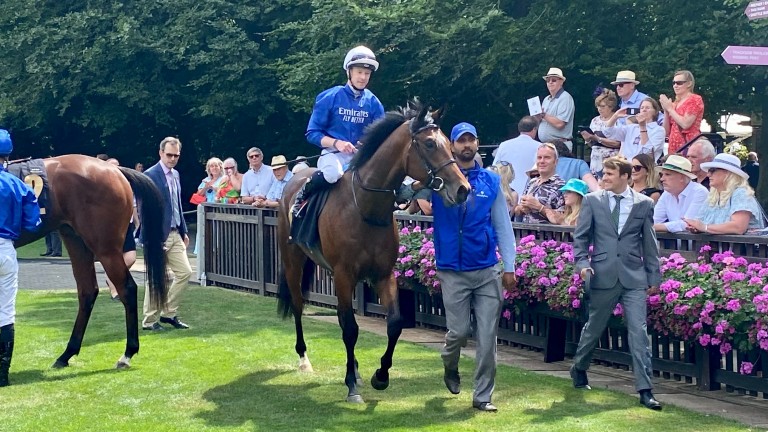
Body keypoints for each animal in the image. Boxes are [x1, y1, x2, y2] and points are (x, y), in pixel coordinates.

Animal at [15, 154, 167, 369]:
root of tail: (115, 170)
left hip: (105, 248)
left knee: (126, 288)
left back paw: (127, 353)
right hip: (75, 240)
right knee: (87, 291)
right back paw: (66, 354)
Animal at [276, 103, 470, 403]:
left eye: (450, 144)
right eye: (429, 143)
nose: (462, 189)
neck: (365, 208)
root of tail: (294, 179)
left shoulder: (383, 274)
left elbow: (394, 324)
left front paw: (380, 376)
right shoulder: (345, 274)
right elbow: (351, 329)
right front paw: (352, 387)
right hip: (293, 261)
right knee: (298, 305)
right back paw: (304, 360)